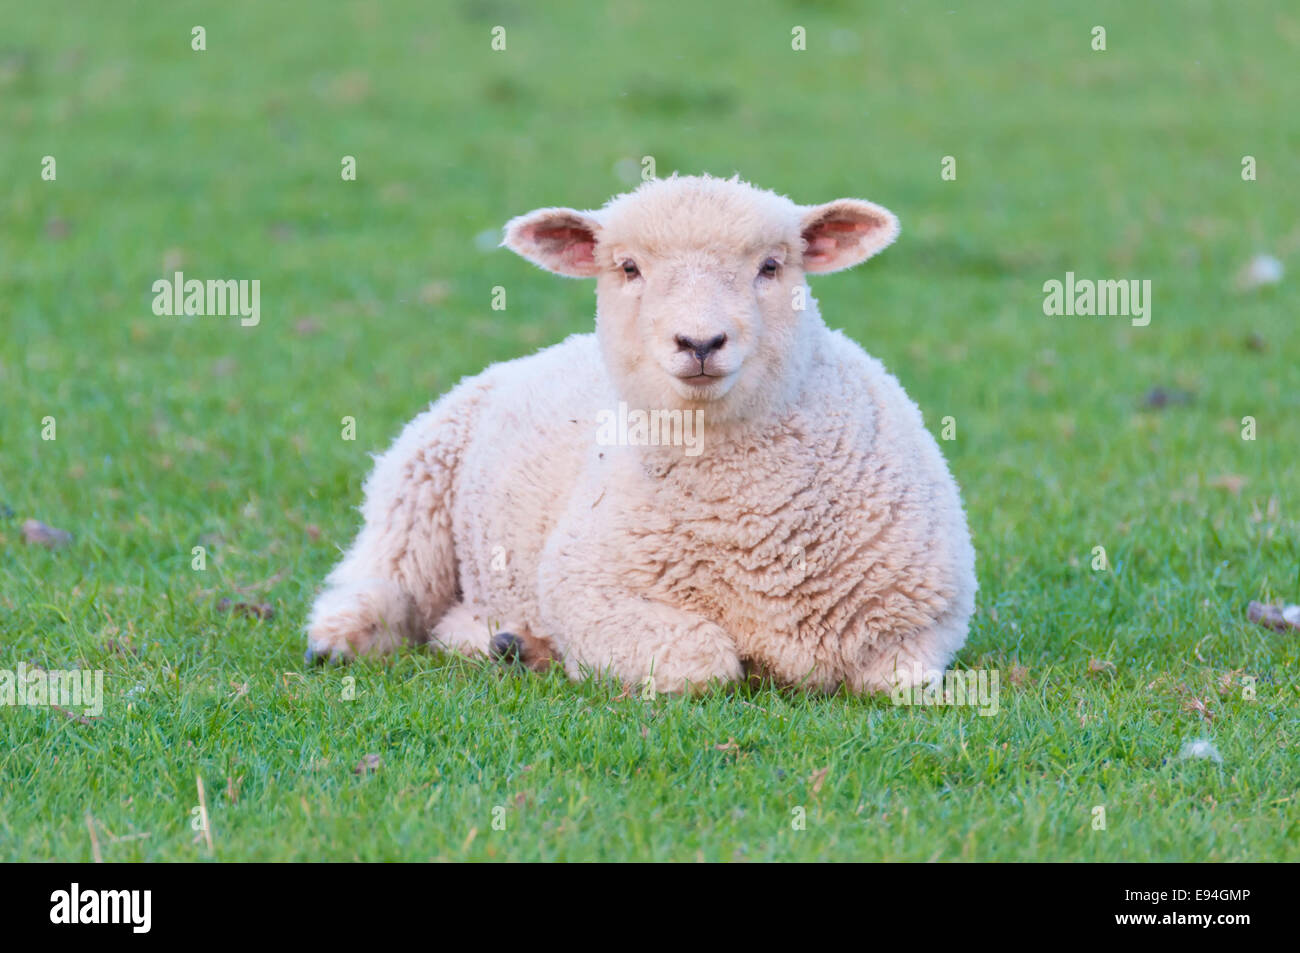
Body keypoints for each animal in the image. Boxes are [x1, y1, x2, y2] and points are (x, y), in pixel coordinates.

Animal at [305, 174, 977, 694]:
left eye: (771, 266)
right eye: (628, 267)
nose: (700, 342)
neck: (750, 535)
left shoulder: (921, 622)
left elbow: (895, 682)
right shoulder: (589, 594)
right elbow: (708, 663)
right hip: (415, 488)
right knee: (384, 586)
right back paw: (353, 640)